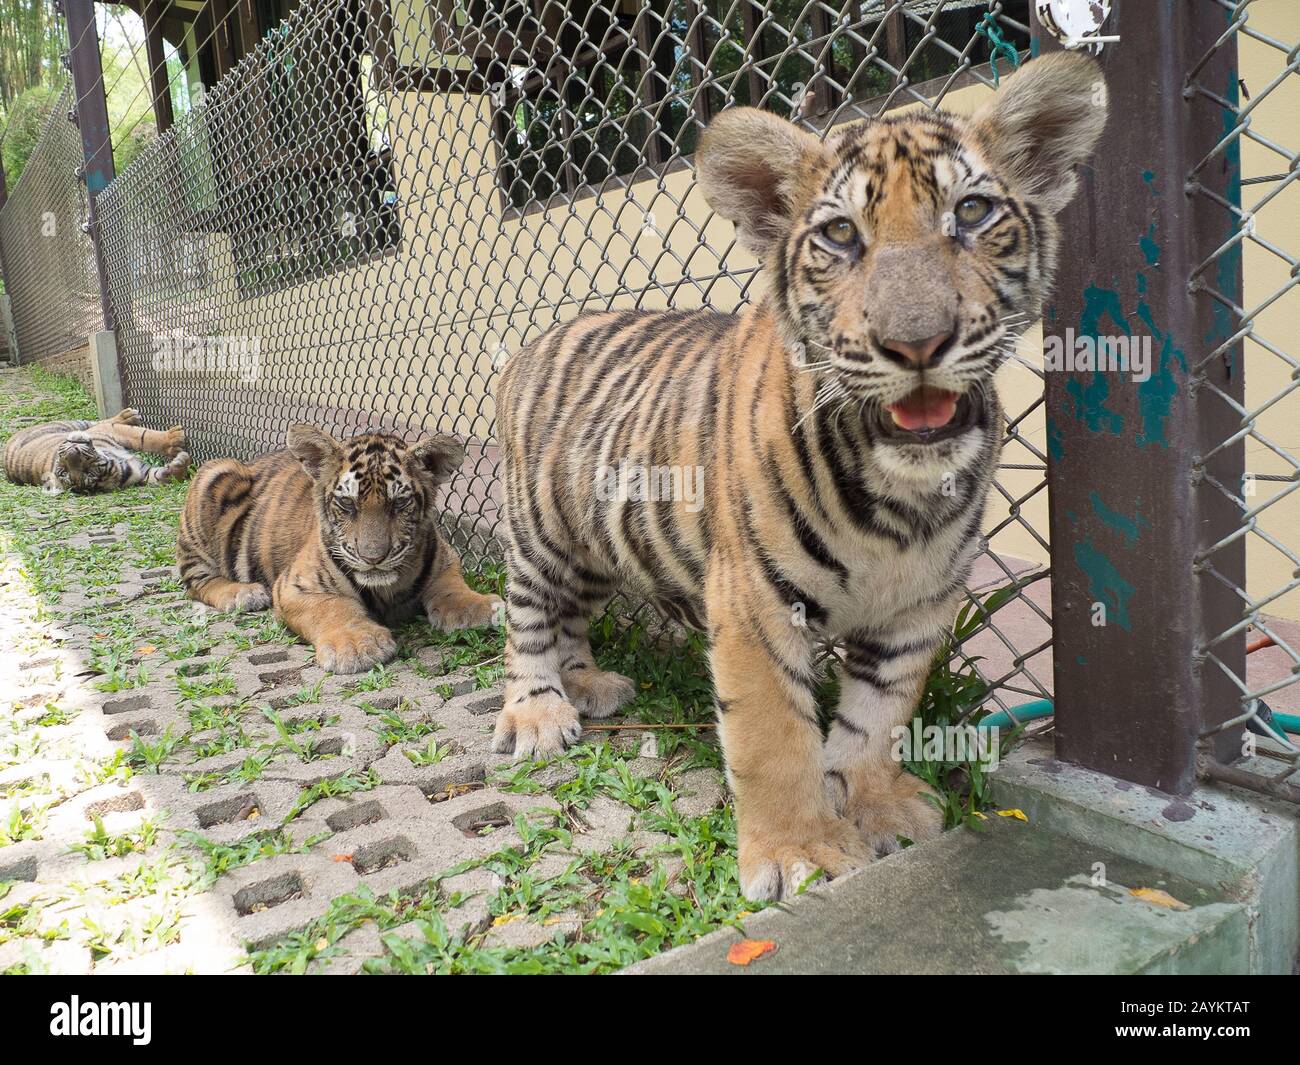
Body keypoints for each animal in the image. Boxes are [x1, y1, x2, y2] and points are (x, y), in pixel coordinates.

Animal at [3, 408, 190, 494]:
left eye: (62, 469)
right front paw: (176, 440)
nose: (71, 451)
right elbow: (144, 437)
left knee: (100, 421)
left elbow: (140, 436)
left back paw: (127, 415)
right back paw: (129, 416)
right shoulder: (142, 473)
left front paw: (178, 464)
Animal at [176, 424, 502, 674]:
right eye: (347, 503)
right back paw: (243, 594)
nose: (373, 557)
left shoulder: (446, 559)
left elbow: (451, 587)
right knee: (196, 581)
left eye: (399, 503)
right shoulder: (294, 586)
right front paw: (356, 644)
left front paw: (481, 607)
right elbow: (332, 607)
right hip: (216, 473)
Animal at [493, 53, 1107, 900]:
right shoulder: (753, 596)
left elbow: (878, 715)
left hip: (597, 545)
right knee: (526, 614)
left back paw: (587, 682)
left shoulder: (920, 603)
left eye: (973, 211)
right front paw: (798, 851)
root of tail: (541, 334)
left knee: (572, 613)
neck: (900, 495)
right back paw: (539, 711)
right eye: (841, 234)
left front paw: (873, 803)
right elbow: (772, 732)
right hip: (541, 532)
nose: (917, 343)